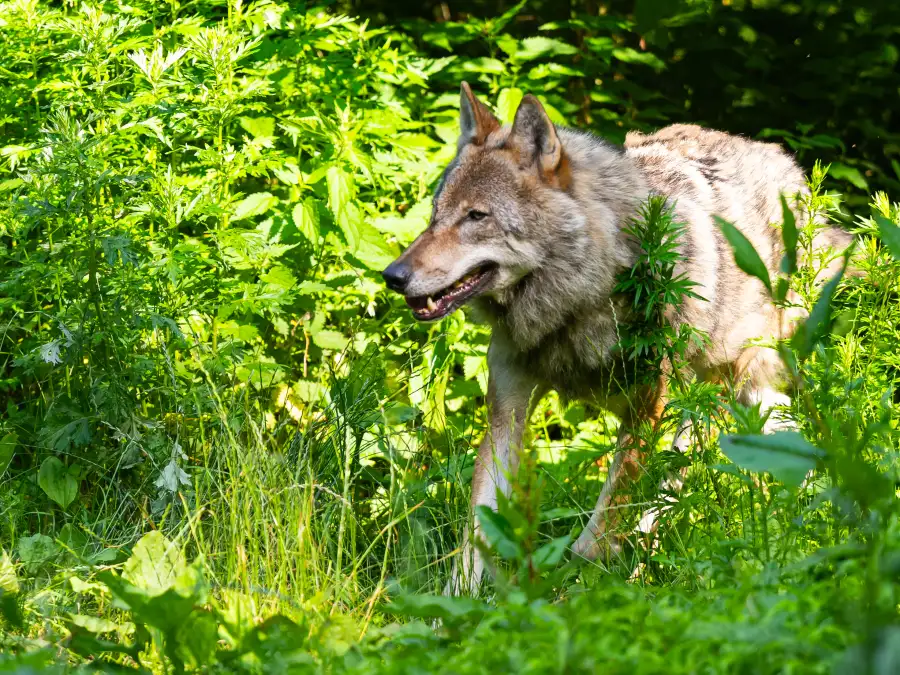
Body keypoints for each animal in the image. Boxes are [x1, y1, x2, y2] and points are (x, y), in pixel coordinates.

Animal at [382, 83, 851, 593]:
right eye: (435, 215)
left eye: (476, 216)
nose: (393, 276)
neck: (576, 305)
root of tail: (786, 164)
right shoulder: (507, 414)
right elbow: (474, 540)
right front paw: (447, 609)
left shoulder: (647, 412)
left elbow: (598, 533)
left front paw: (576, 595)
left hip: (731, 395)